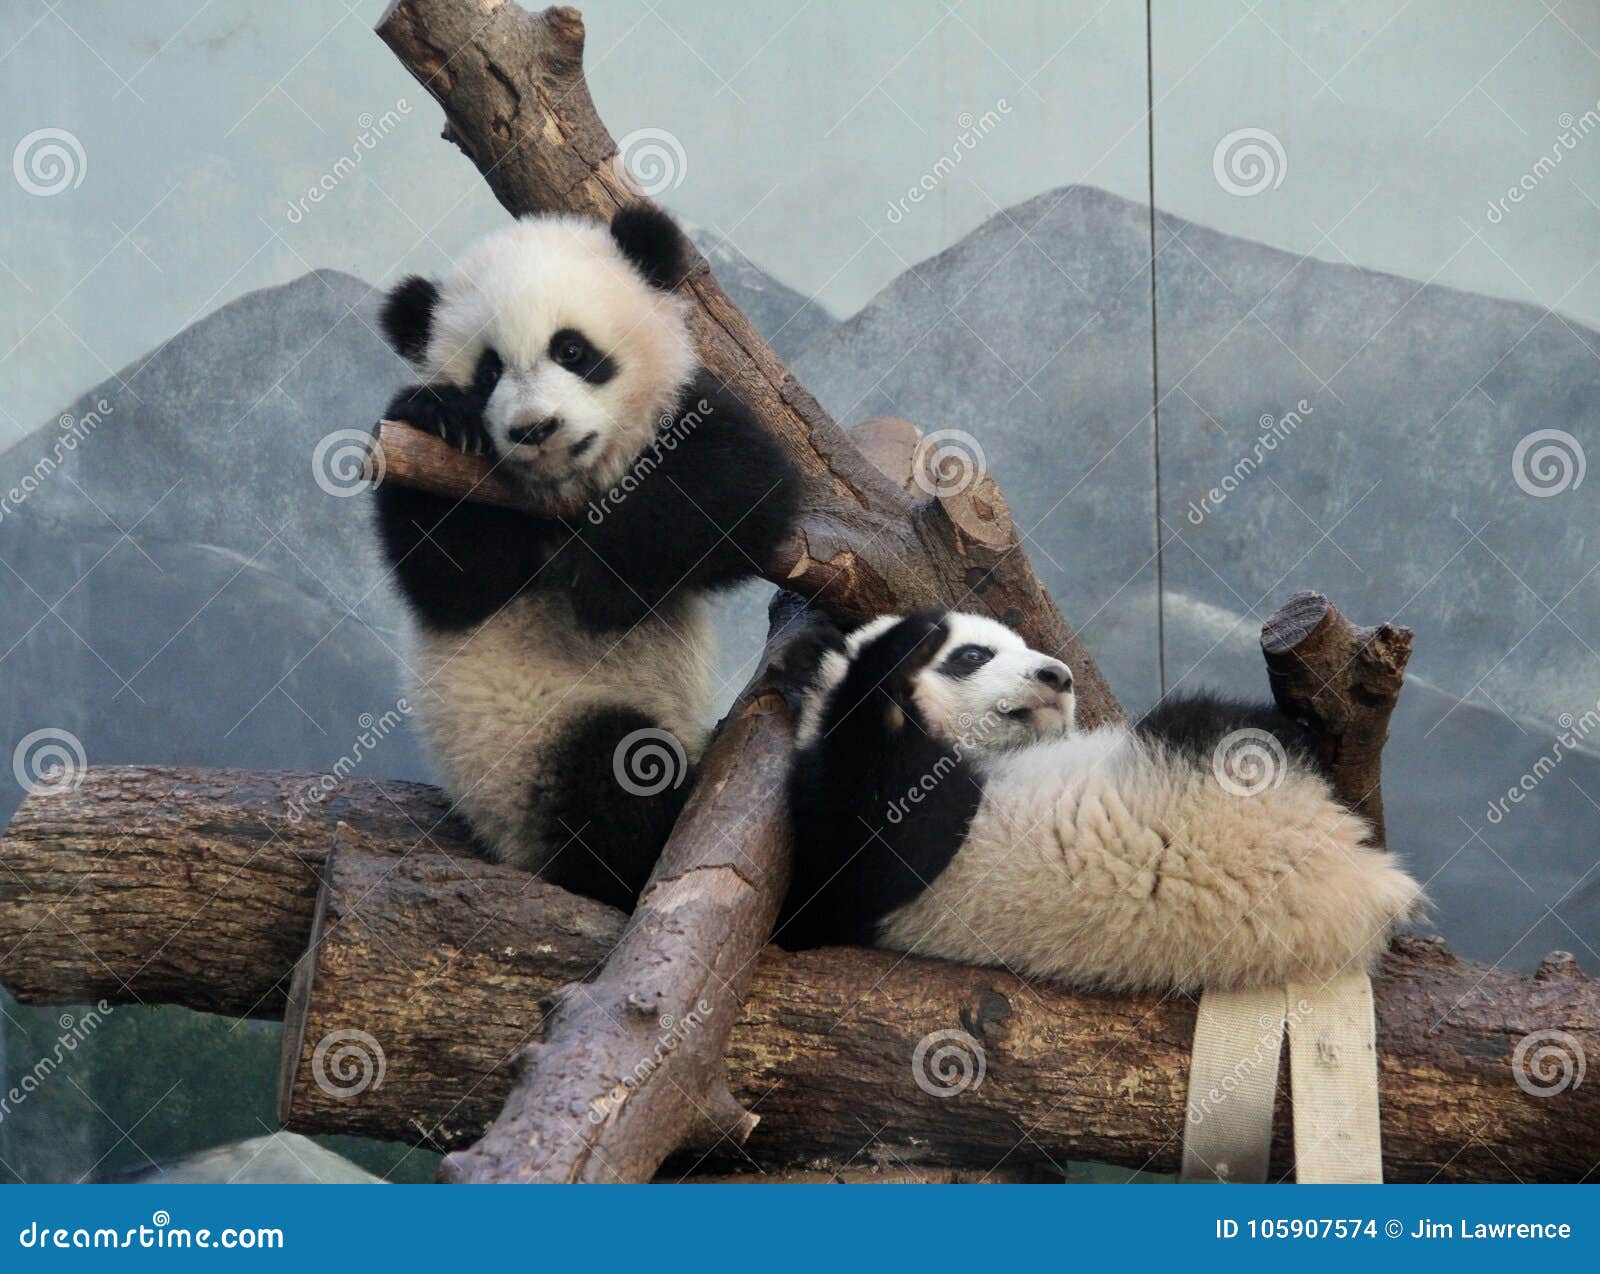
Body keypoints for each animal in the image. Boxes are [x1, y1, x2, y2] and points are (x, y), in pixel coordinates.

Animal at [373, 206, 799, 911]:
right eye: (487, 372)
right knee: (618, 773)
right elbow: (454, 580)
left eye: (571, 350)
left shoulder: (690, 413)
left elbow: (742, 485)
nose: (534, 430)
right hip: (523, 755)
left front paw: (603, 581)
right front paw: (439, 418)